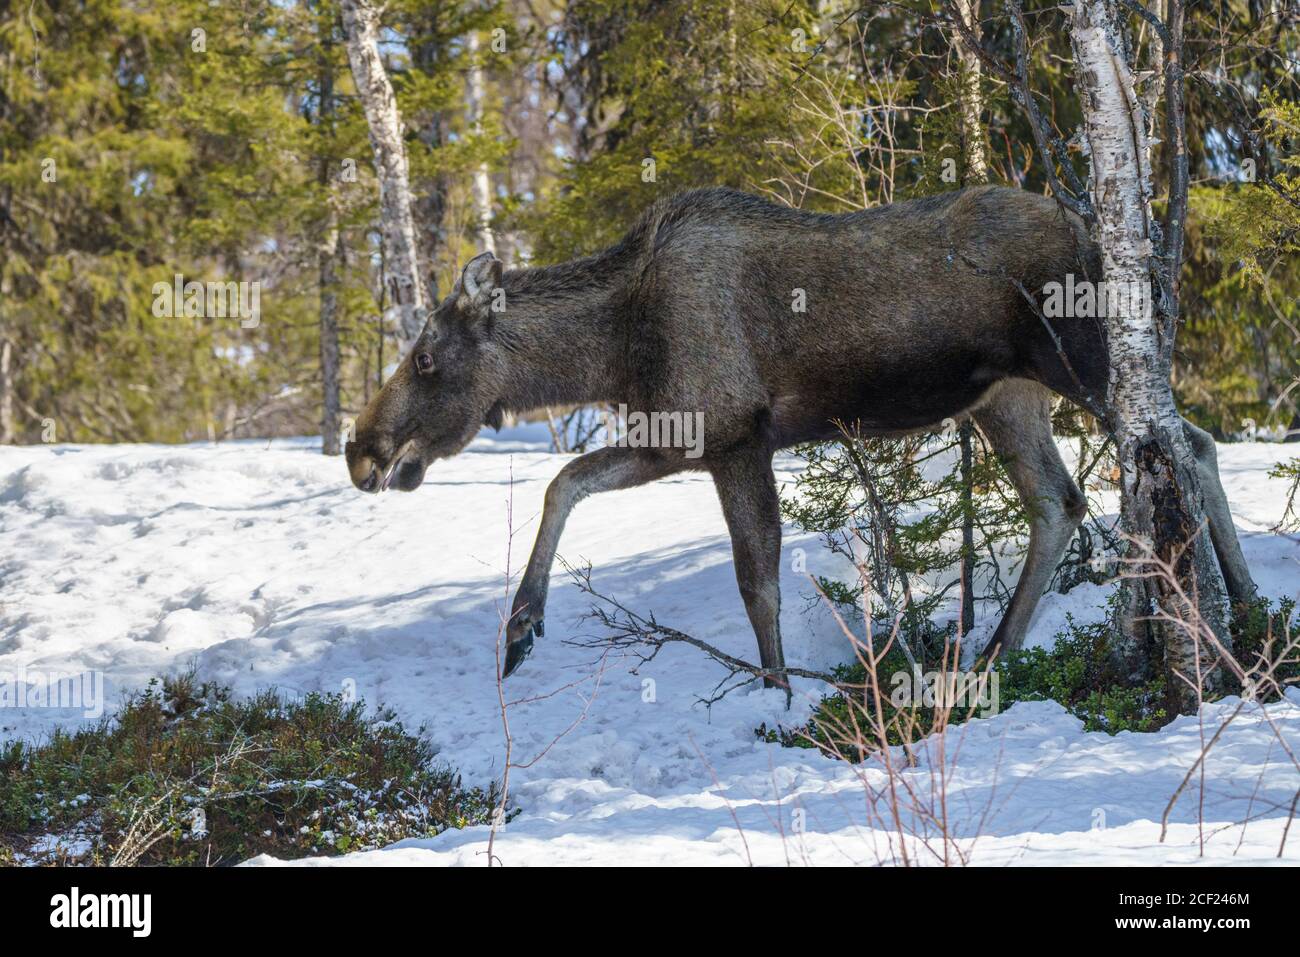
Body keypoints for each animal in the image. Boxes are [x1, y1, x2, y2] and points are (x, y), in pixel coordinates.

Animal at [345, 185, 1256, 686]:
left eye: (425, 356)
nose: (362, 451)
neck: (618, 348)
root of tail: (1093, 229)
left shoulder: (731, 434)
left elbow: (757, 580)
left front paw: (777, 692)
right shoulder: (686, 437)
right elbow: (565, 481)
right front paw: (521, 628)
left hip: (1085, 358)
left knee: (1186, 442)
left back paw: (1242, 607)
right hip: (1008, 397)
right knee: (1061, 501)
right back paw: (993, 657)